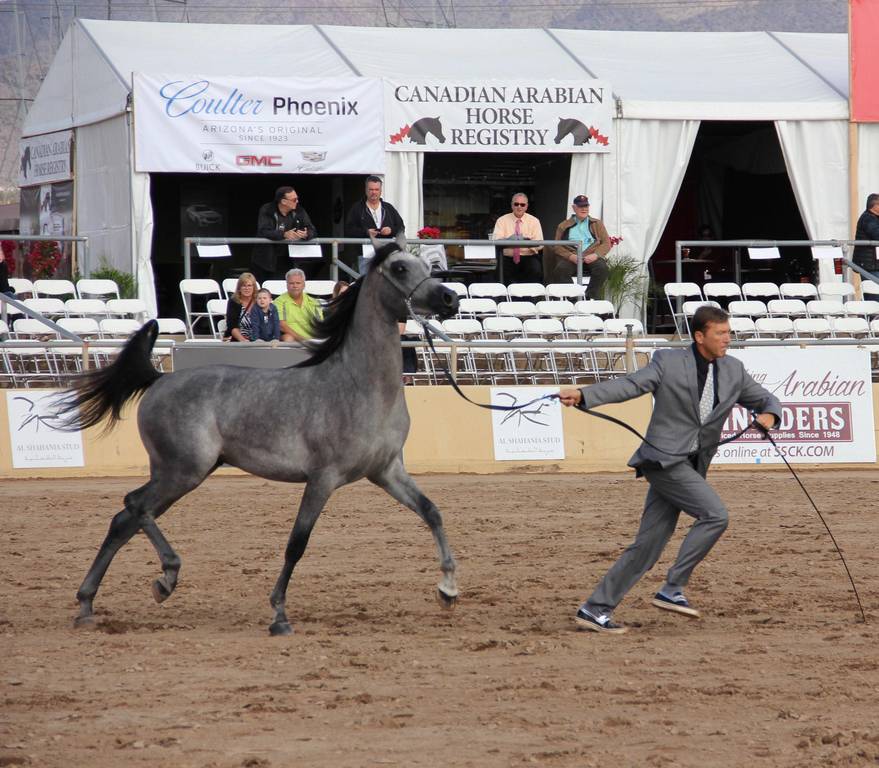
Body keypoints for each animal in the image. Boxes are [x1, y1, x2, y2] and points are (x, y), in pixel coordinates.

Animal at [55, 235, 460, 635]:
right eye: (400, 268)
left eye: (428, 267)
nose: (450, 299)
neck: (360, 386)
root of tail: (159, 379)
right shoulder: (323, 479)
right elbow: (297, 543)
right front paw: (279, 615)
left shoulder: (386, 471)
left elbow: (433, 512)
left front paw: (448, 589)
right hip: (182, 472)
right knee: (135, 506)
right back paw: (166, 578)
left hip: (180, 475)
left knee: (125, 520)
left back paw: (87, 606)